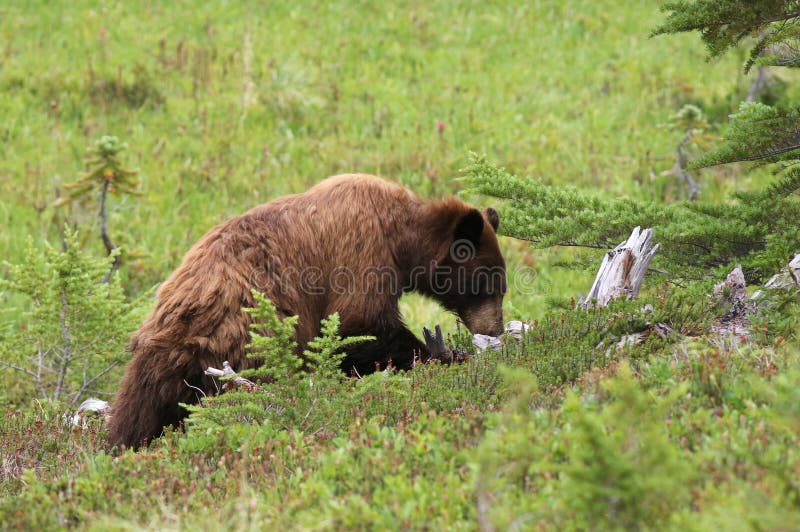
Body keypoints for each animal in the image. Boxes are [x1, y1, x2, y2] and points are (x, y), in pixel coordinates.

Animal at [107, 174, 506, 449]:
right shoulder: (361, 250)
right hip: (243, 340)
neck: (400, 234)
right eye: (489, 284)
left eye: (501, 286)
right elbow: (358, 324)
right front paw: (444, 354)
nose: (496, 329)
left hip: (151, 379)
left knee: (136, 418)